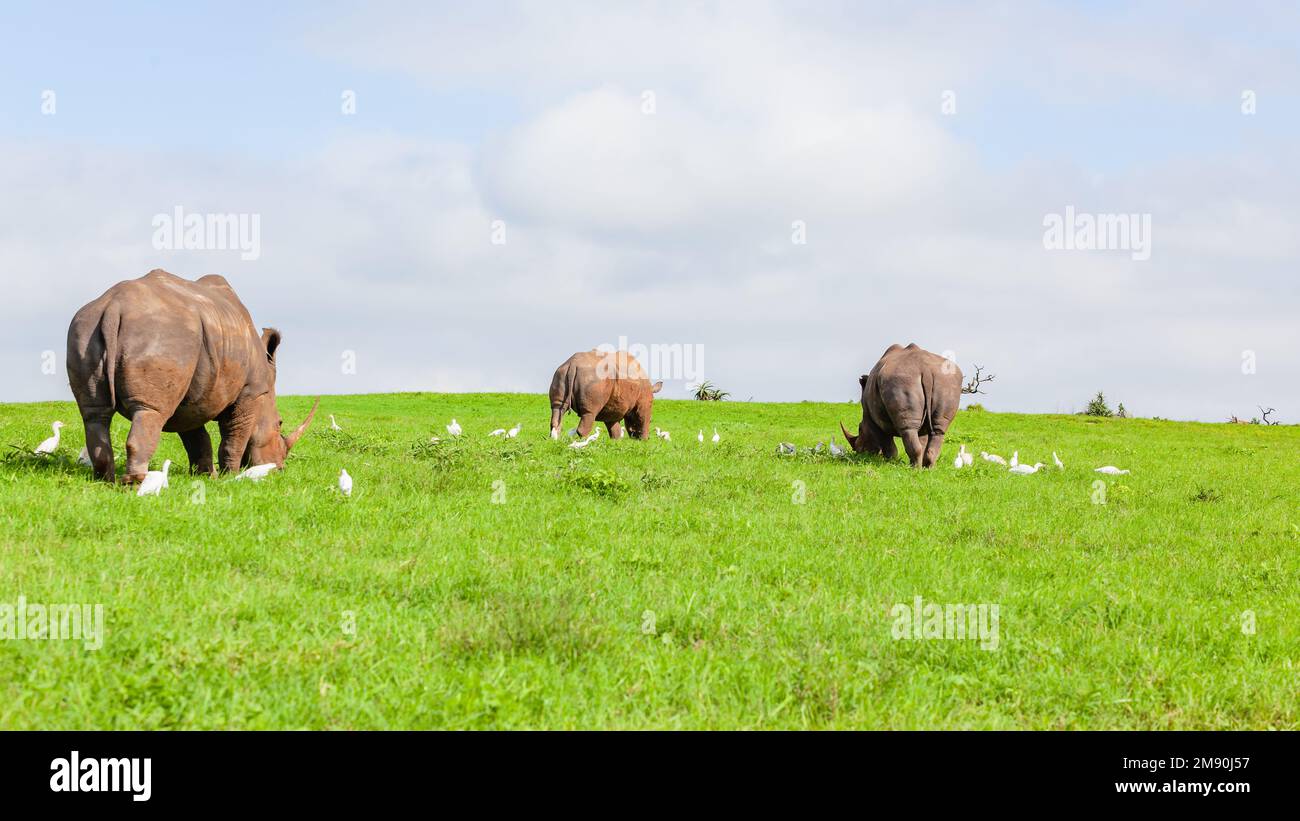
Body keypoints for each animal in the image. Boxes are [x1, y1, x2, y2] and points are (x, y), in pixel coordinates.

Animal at [66, 269, 318, 483]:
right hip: (162, 334)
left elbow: (197, 438)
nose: (280, 469)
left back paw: (104, 481)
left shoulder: (192, 396)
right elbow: (234, 436)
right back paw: (135, 483)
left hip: (85, 328)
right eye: (279, 423)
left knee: (94, 413)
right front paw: (229, 476)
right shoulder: (251, 392)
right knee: (150, 411)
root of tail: (113, 306)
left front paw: (208, 476)